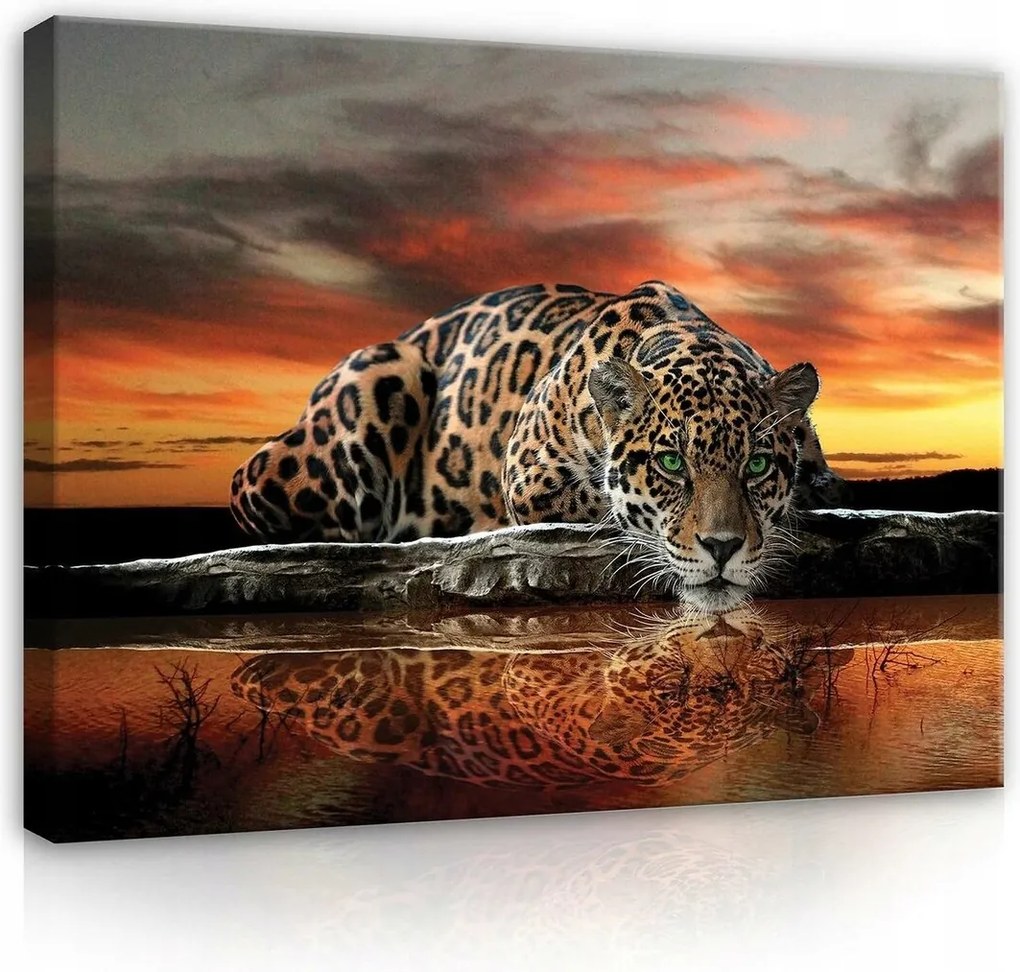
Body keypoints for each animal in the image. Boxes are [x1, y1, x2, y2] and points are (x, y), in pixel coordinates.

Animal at [230, 280, 850, 603]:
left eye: (757, 466)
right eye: (672, 464)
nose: (723, 548)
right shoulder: (530, 475)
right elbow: (605, 500)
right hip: (375, 380)